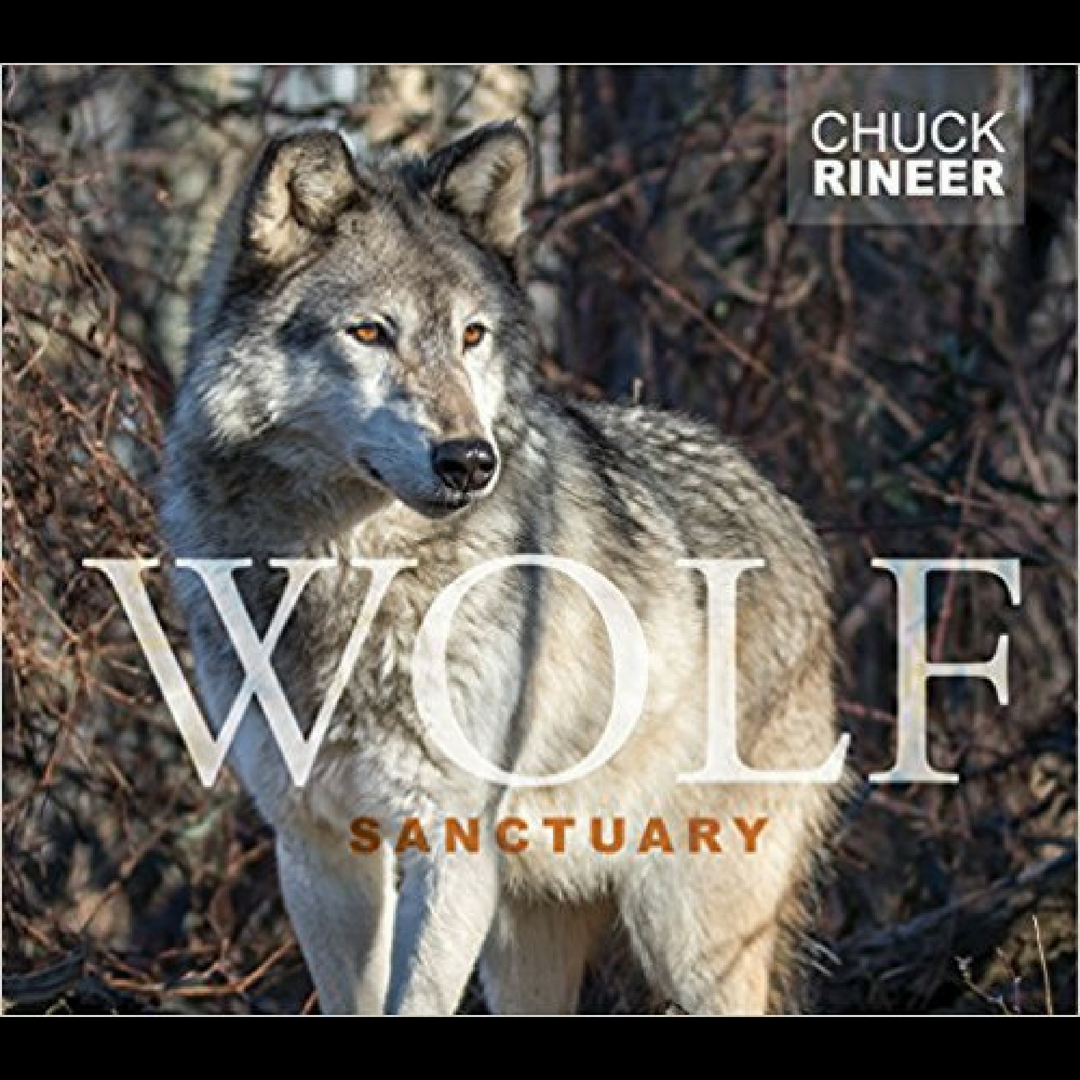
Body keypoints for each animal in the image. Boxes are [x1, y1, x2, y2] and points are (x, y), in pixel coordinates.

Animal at [162, 121, 842, 1014]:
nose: (468, 461)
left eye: (472, 335)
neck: (345, 574)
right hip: (529, 935)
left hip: (688, 933)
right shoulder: (314, 847)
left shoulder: (451, 843)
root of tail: (781, 500)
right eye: (370, 333)